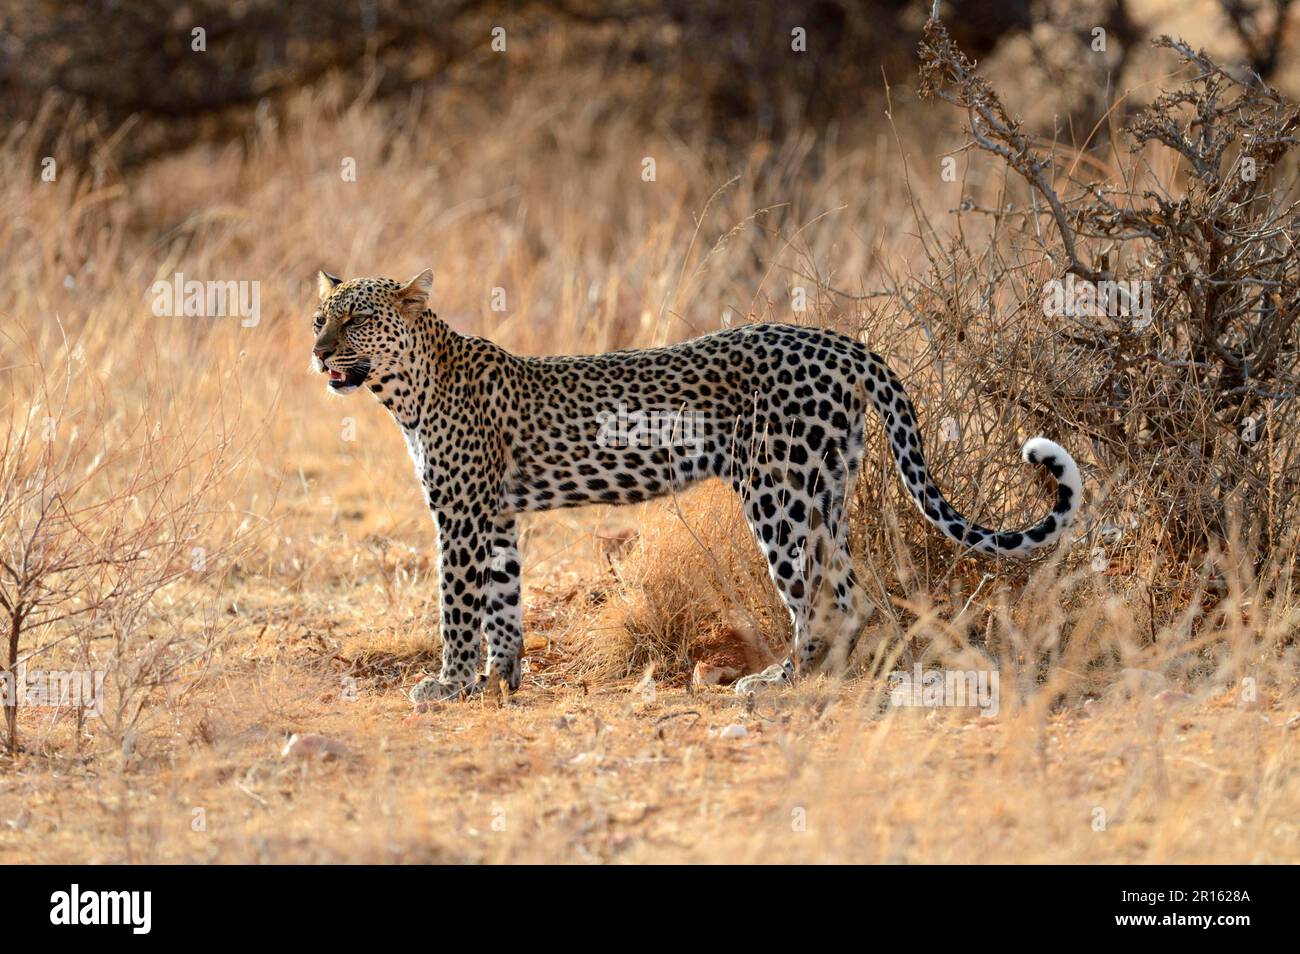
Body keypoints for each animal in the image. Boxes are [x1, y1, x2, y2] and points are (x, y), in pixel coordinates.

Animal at [309, 269, 1083, 702]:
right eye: (322, 316)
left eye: (358, 319)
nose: (317, 351)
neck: (409, 389)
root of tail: (840, 342)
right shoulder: (495, 517)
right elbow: (502, 603)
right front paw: (501, 680)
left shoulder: (462, 514)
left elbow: (457, 606)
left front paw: (448, 684)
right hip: (823, 491)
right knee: (852, 593)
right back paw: (828, 677)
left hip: (778, 491)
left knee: (820, 599)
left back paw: (776, 682)